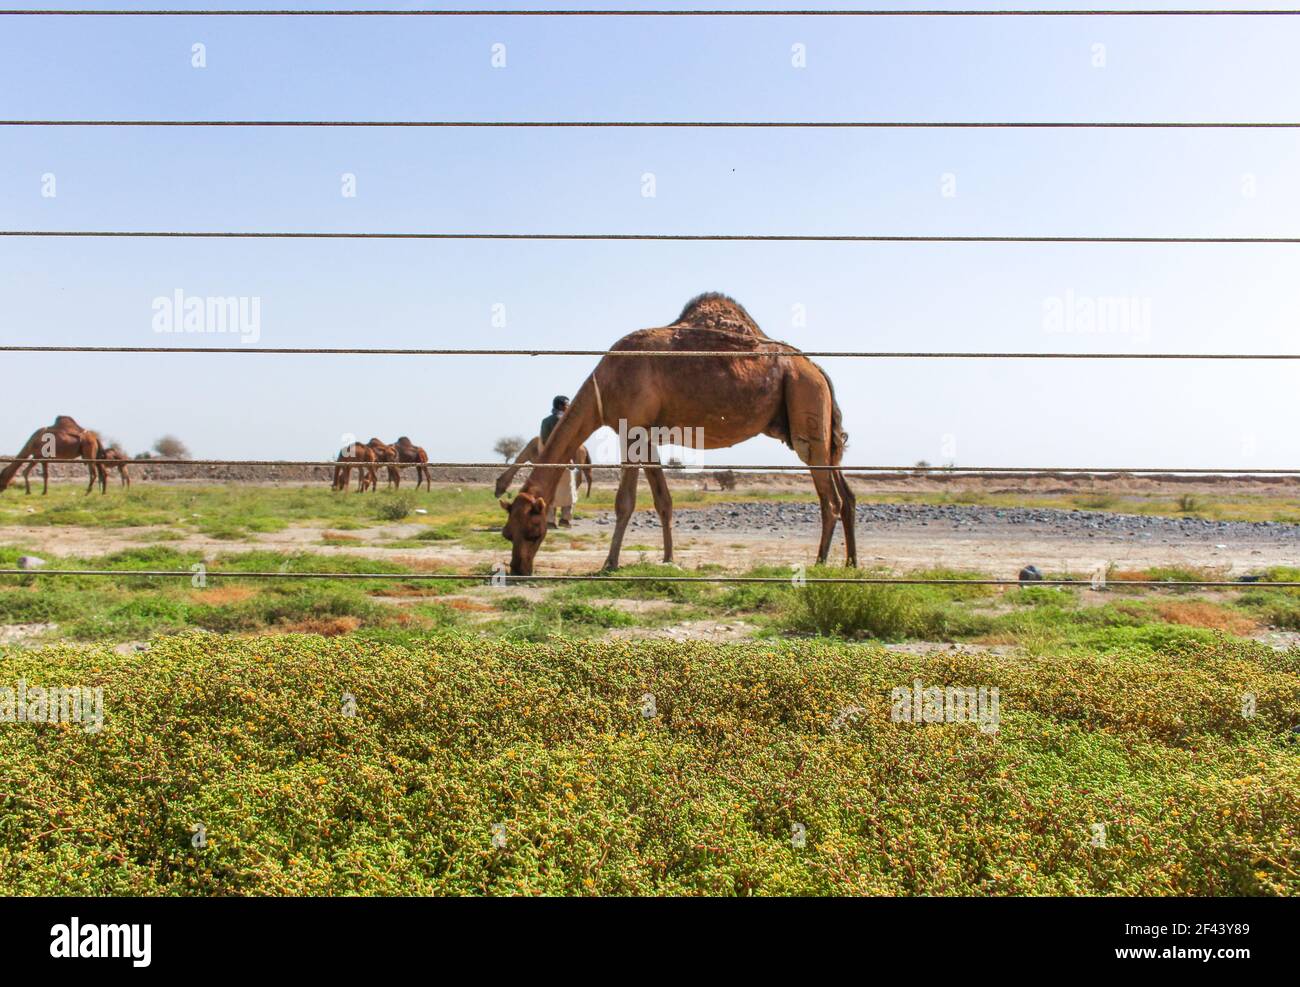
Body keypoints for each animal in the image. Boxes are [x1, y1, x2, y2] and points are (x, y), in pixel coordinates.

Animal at [501, 293, 855, 576]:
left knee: (831, 498)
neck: (604, 384)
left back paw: (821, 562)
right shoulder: (648, 435)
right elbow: (663, 500)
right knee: (846, 493)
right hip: (819, 427)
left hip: (805, 406)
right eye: (507, 534)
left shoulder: (631, 427)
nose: (518, 569)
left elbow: (624, 501)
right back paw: (850, 562)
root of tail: (817, 370)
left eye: (533, 531)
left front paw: (610, 563)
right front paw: (669, 558)